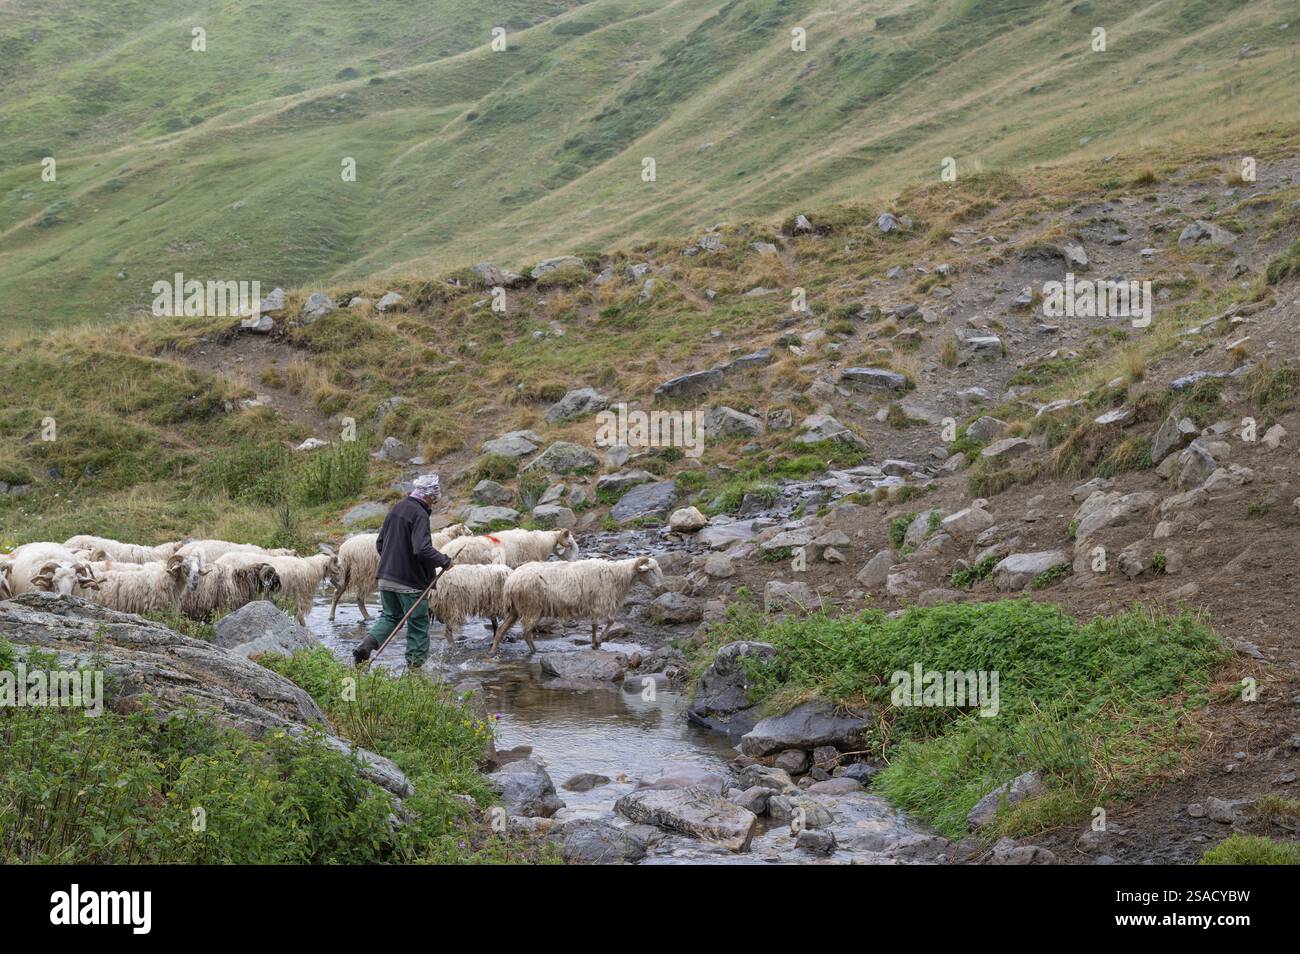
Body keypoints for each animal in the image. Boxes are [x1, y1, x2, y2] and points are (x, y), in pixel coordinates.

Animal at [327, 523, 469, 622]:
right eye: (467, 532)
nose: (472, 534)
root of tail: (345, 550)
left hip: (347, 572)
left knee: (337, 592)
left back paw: (332, 616)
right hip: (364, 573)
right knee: (359, 597)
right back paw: (367, 617)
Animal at [490, 556, 662, 654]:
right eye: (651, 571)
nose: (659, 587)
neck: (617, 575)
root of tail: (510, 582)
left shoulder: (594, 604)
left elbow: (595, 625)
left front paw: (594, 643)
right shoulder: (601, 602)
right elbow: (610, 621)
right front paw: (600, 640)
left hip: (515, 609)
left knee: (501, 629)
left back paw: (493, 651)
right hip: (532, 607)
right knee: (526, 632)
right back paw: (534, 652)